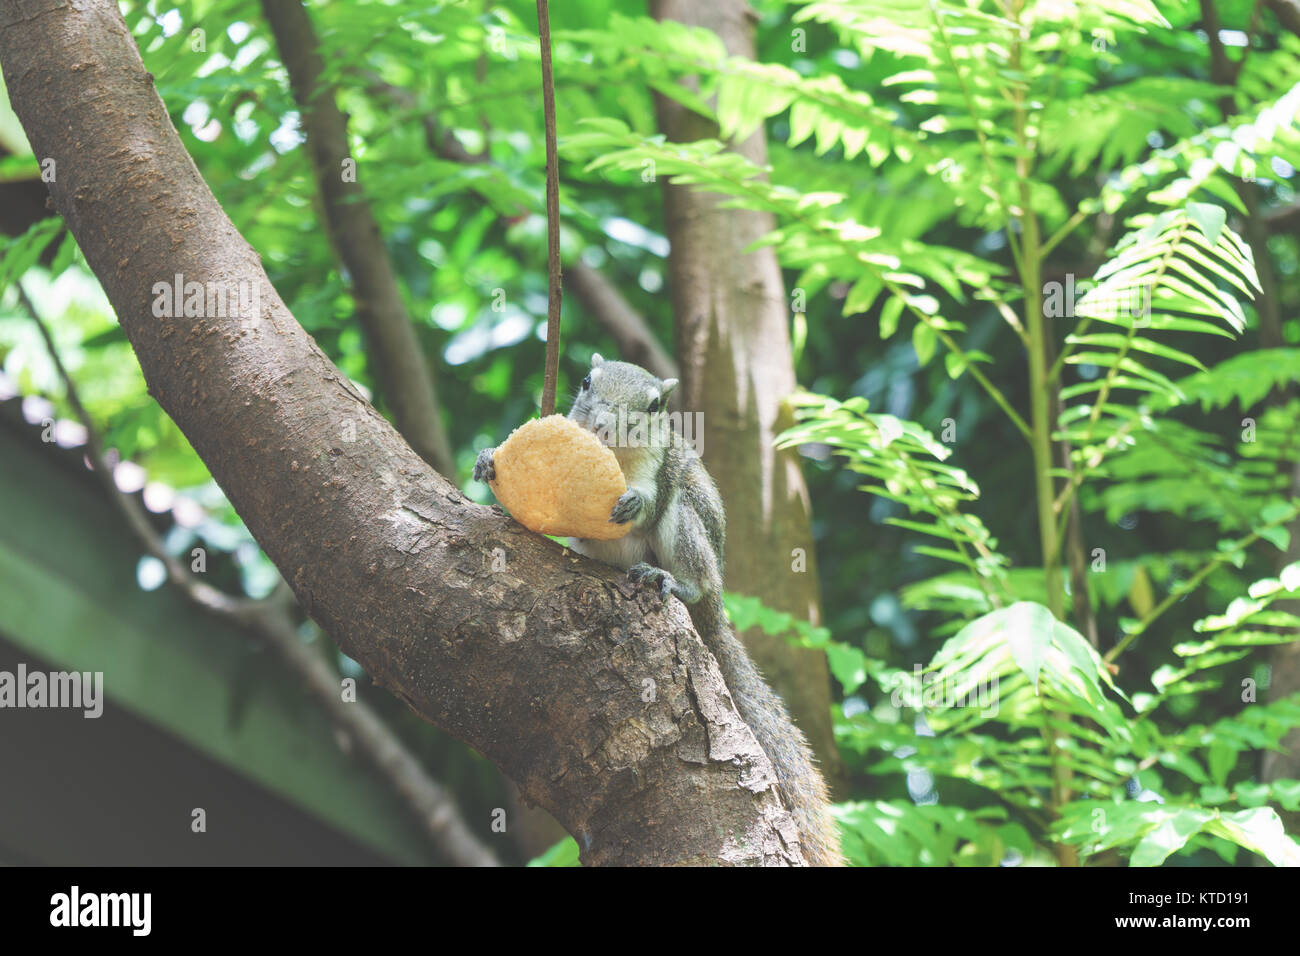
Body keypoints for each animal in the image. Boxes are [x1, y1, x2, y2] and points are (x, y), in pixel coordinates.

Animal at [474, 354, 843, 866]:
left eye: (654, 407)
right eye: (586, 382)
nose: (602, 425)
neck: (619, 458)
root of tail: (715, 608)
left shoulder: (660, 471)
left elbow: (650, 502)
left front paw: (634, 502)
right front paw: (489, 459)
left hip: (689, 531)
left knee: (690, 562)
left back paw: (673, 581)